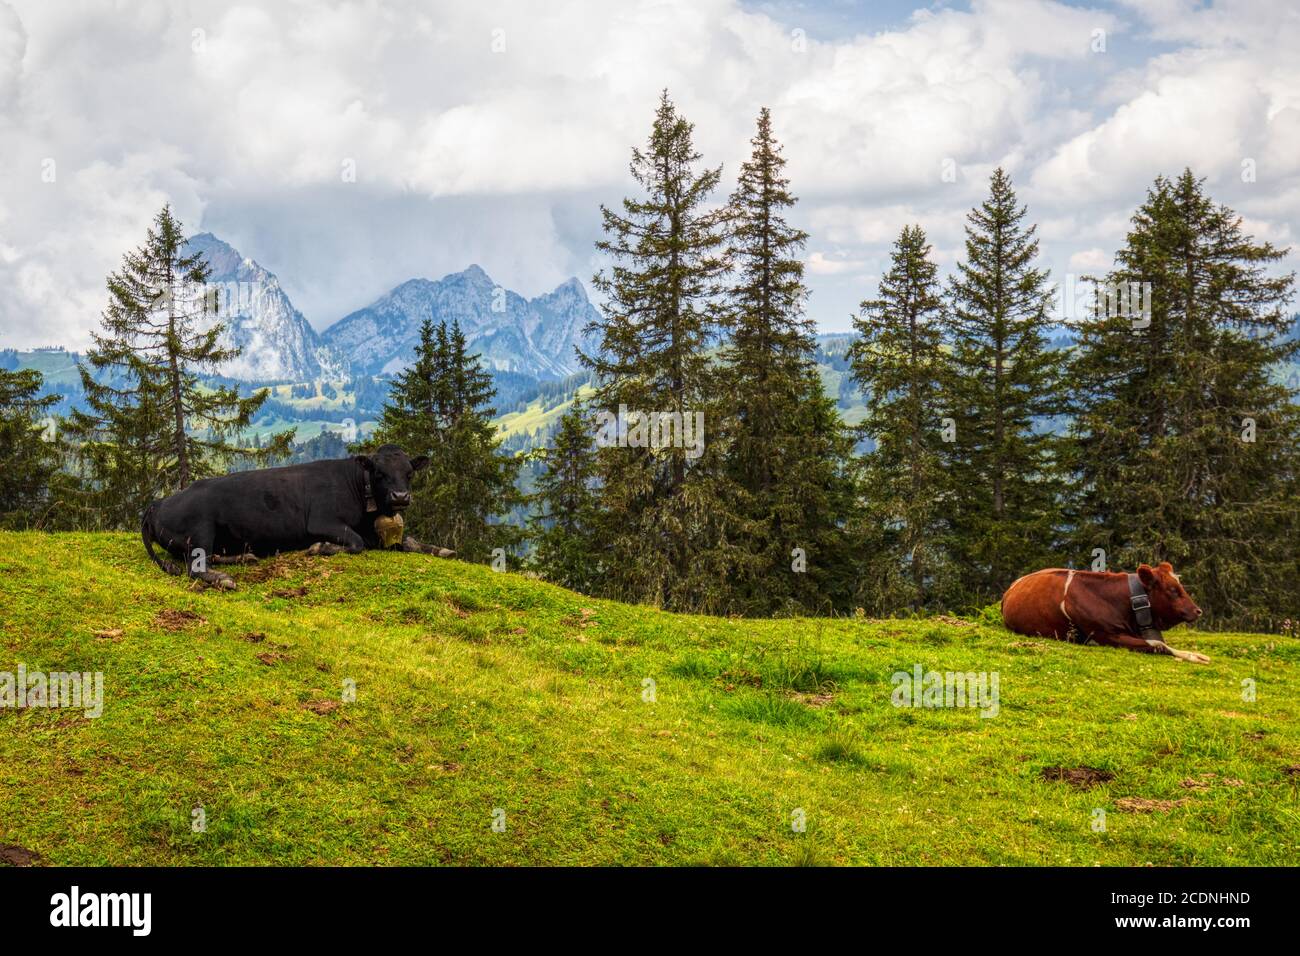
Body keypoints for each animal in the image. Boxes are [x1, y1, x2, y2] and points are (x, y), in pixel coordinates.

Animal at [141, 444, 454, 590]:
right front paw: (321, 547)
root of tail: (157, 502)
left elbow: (409, 541)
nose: (400, 497)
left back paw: (243, 557)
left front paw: (442, 550)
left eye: (409, 473)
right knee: (195, 567)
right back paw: (224, 578)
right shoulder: (322, 521)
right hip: (201, 528)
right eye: (379, 473)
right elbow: (355, 544)